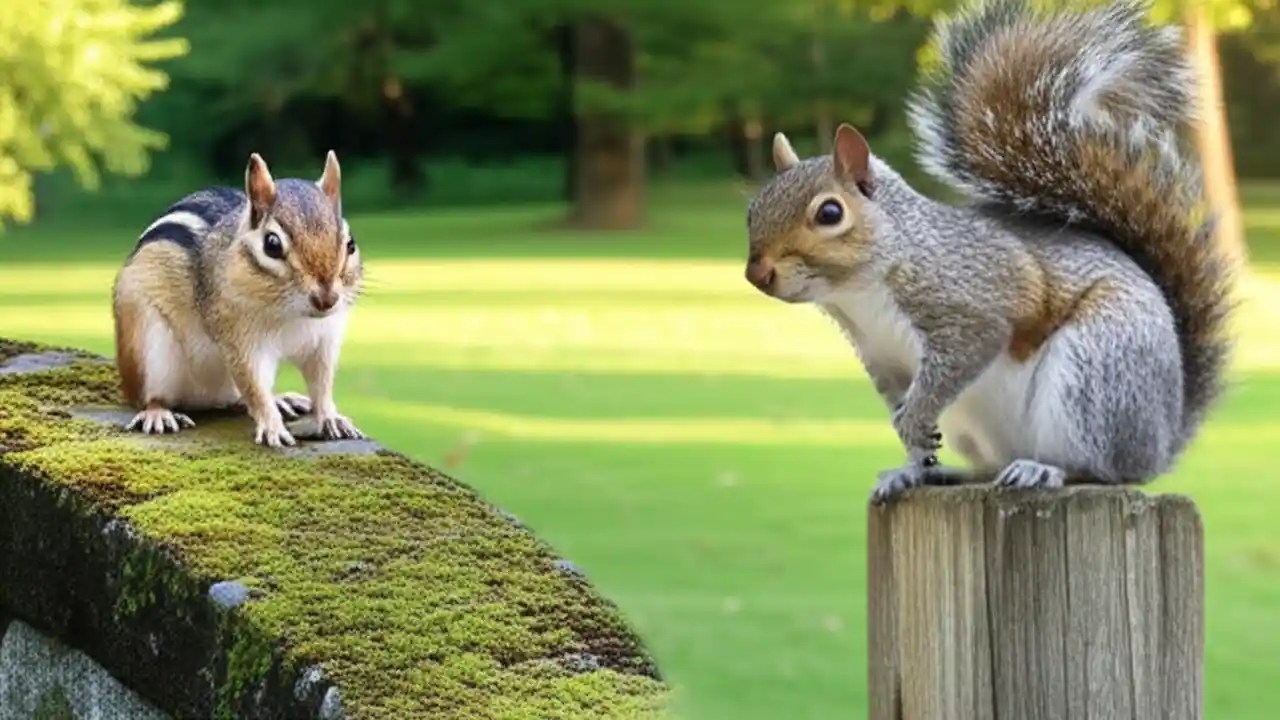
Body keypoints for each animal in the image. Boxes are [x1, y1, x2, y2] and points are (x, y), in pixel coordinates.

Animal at [112, 151, 365, 448]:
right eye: (272, 244)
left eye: (350, 244)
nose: (327, 299)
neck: (291, 314)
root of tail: (205, 397)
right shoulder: (239, 340)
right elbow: (254, 387)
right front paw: (272, 426)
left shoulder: (324, 340)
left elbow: (322, 384)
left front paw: (330, 417)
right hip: (149, 349)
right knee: (149, 397)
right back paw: (158, 413)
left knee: (238, 398)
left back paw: (282, 400)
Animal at [743, 0, 1235, 503]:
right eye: (751, 210)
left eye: (829, 213)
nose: (757, 273)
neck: (862, 290)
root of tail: (1164, 441)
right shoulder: (882, 356)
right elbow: (905, 409)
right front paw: (910, 463)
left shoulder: (971, 300)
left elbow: (961, 356)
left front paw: (913, 421)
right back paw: (953, 474)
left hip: (1096, 374)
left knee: (1103, 467)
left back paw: (1045, 469)